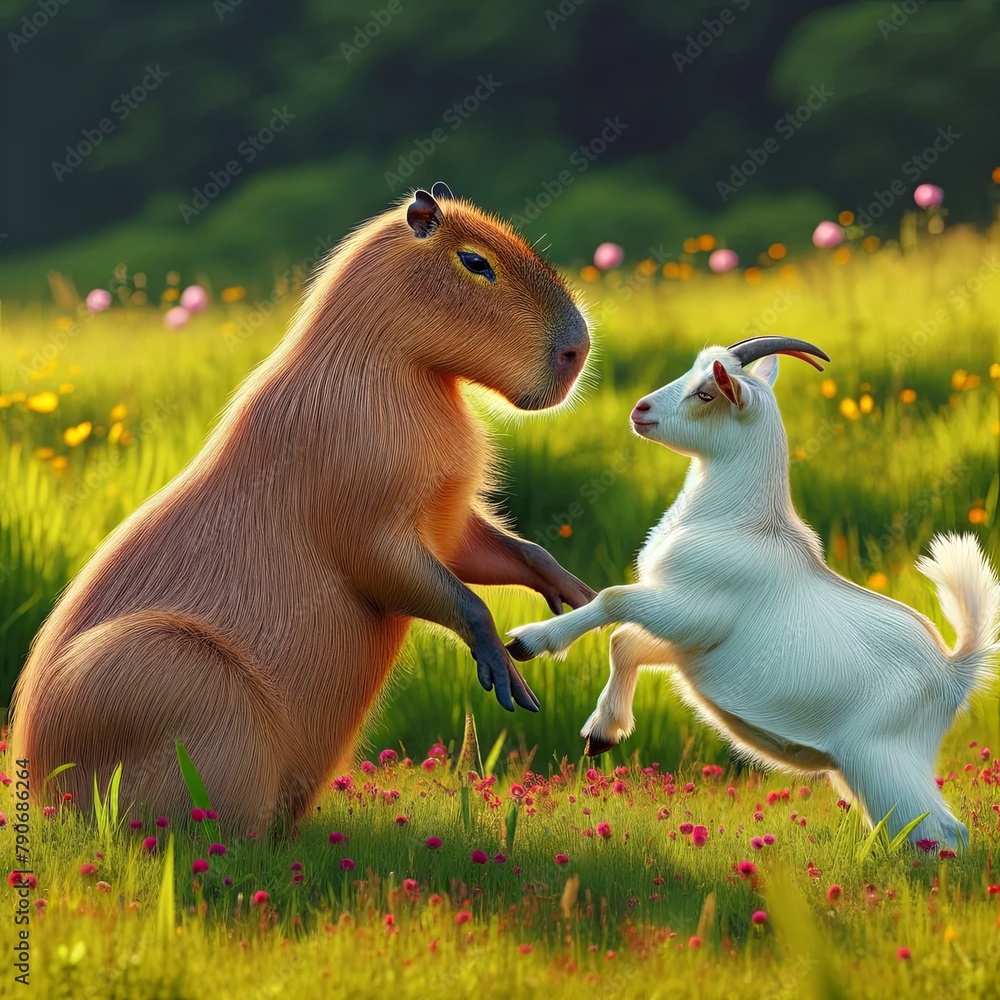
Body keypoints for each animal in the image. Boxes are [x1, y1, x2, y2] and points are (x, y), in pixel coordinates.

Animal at [508, 337, 1000, 846]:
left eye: (707, 392)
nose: (640, 409)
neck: (741, 523)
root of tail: (953, 673)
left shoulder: (691, 609)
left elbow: (613, 601)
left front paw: (530, 641)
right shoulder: (690, 643)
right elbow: (625, 641)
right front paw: (602, 734)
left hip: (884, 762)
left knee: (945, 830)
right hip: (864, 772)